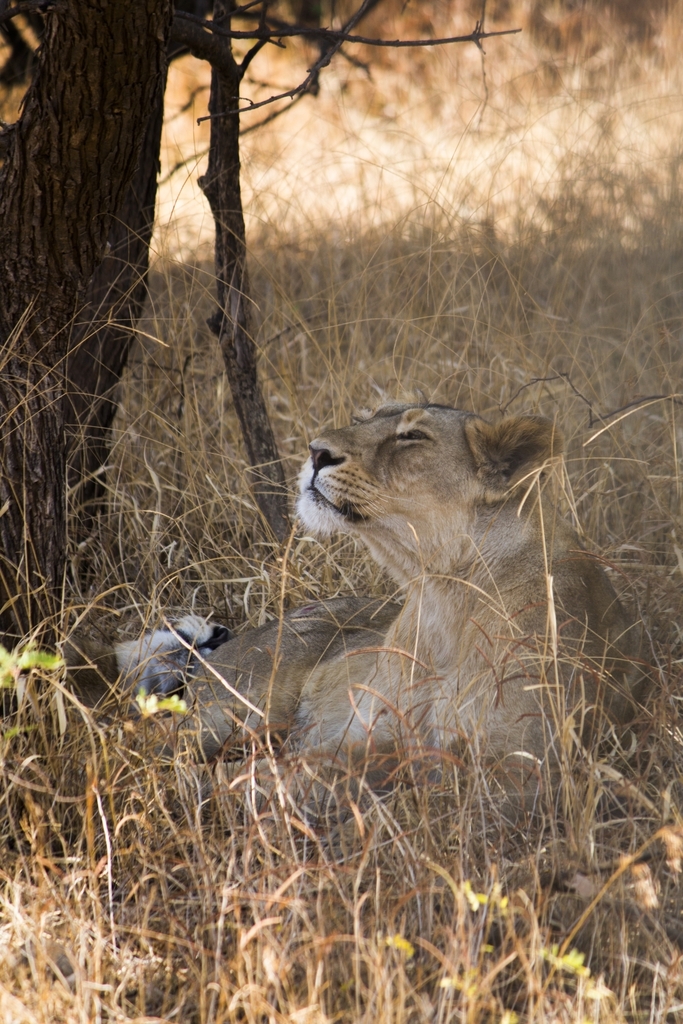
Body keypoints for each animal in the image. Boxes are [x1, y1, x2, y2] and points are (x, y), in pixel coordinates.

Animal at [66, 402, 643, 809]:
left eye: (411, 437)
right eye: (364, 419)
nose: (315, 451)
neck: (440, 596)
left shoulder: (525, 774)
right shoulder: (354, 733)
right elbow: (314, 770)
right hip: (235, 706)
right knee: (137, 739)